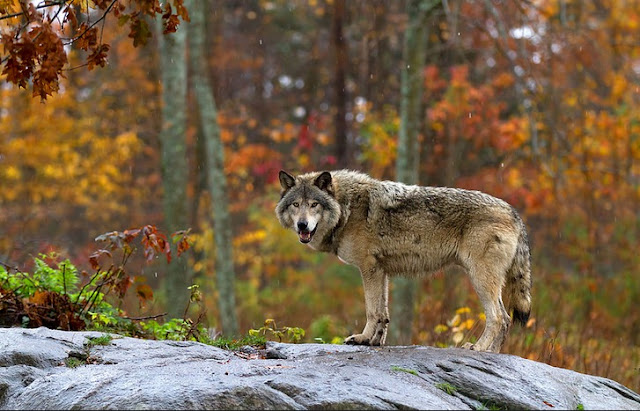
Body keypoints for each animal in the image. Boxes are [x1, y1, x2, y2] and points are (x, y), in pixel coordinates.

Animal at [275, 169, 532, 353]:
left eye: (314, 204)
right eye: (296, 205)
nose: (302, 225)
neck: (346, 209)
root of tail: (514, 213)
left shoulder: (369, 268)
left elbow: (371, 311)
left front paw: (362, 338)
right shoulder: (381, 271)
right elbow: (383, 313)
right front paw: (375, 342)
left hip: (479, 279)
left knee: (497, 317)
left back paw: (477, 348)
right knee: (506, 319)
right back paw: (492, 353)